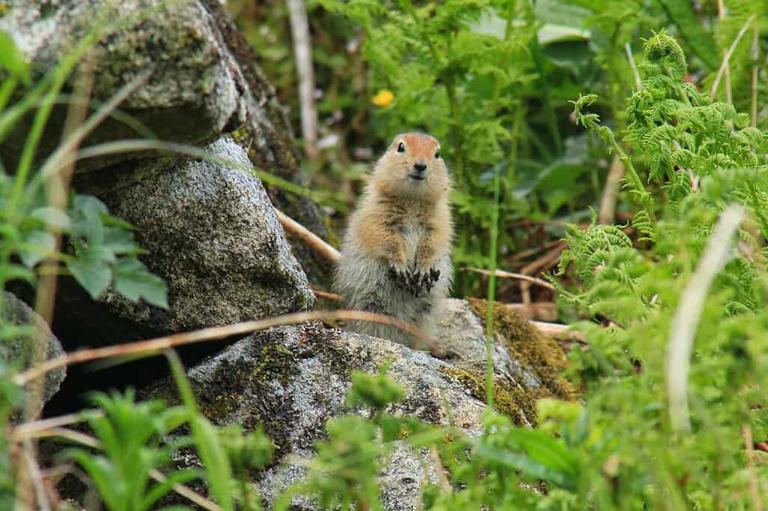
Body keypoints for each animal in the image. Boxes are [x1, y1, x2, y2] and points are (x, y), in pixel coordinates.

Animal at [334, 132, 453, 348]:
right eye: (401, 147)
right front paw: (400, 266)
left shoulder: (440, 221)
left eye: (438, 154)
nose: (420, 165)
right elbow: (385, 238)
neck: (412, 199)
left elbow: (434, 242)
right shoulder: (377, 215)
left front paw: (423, 269)